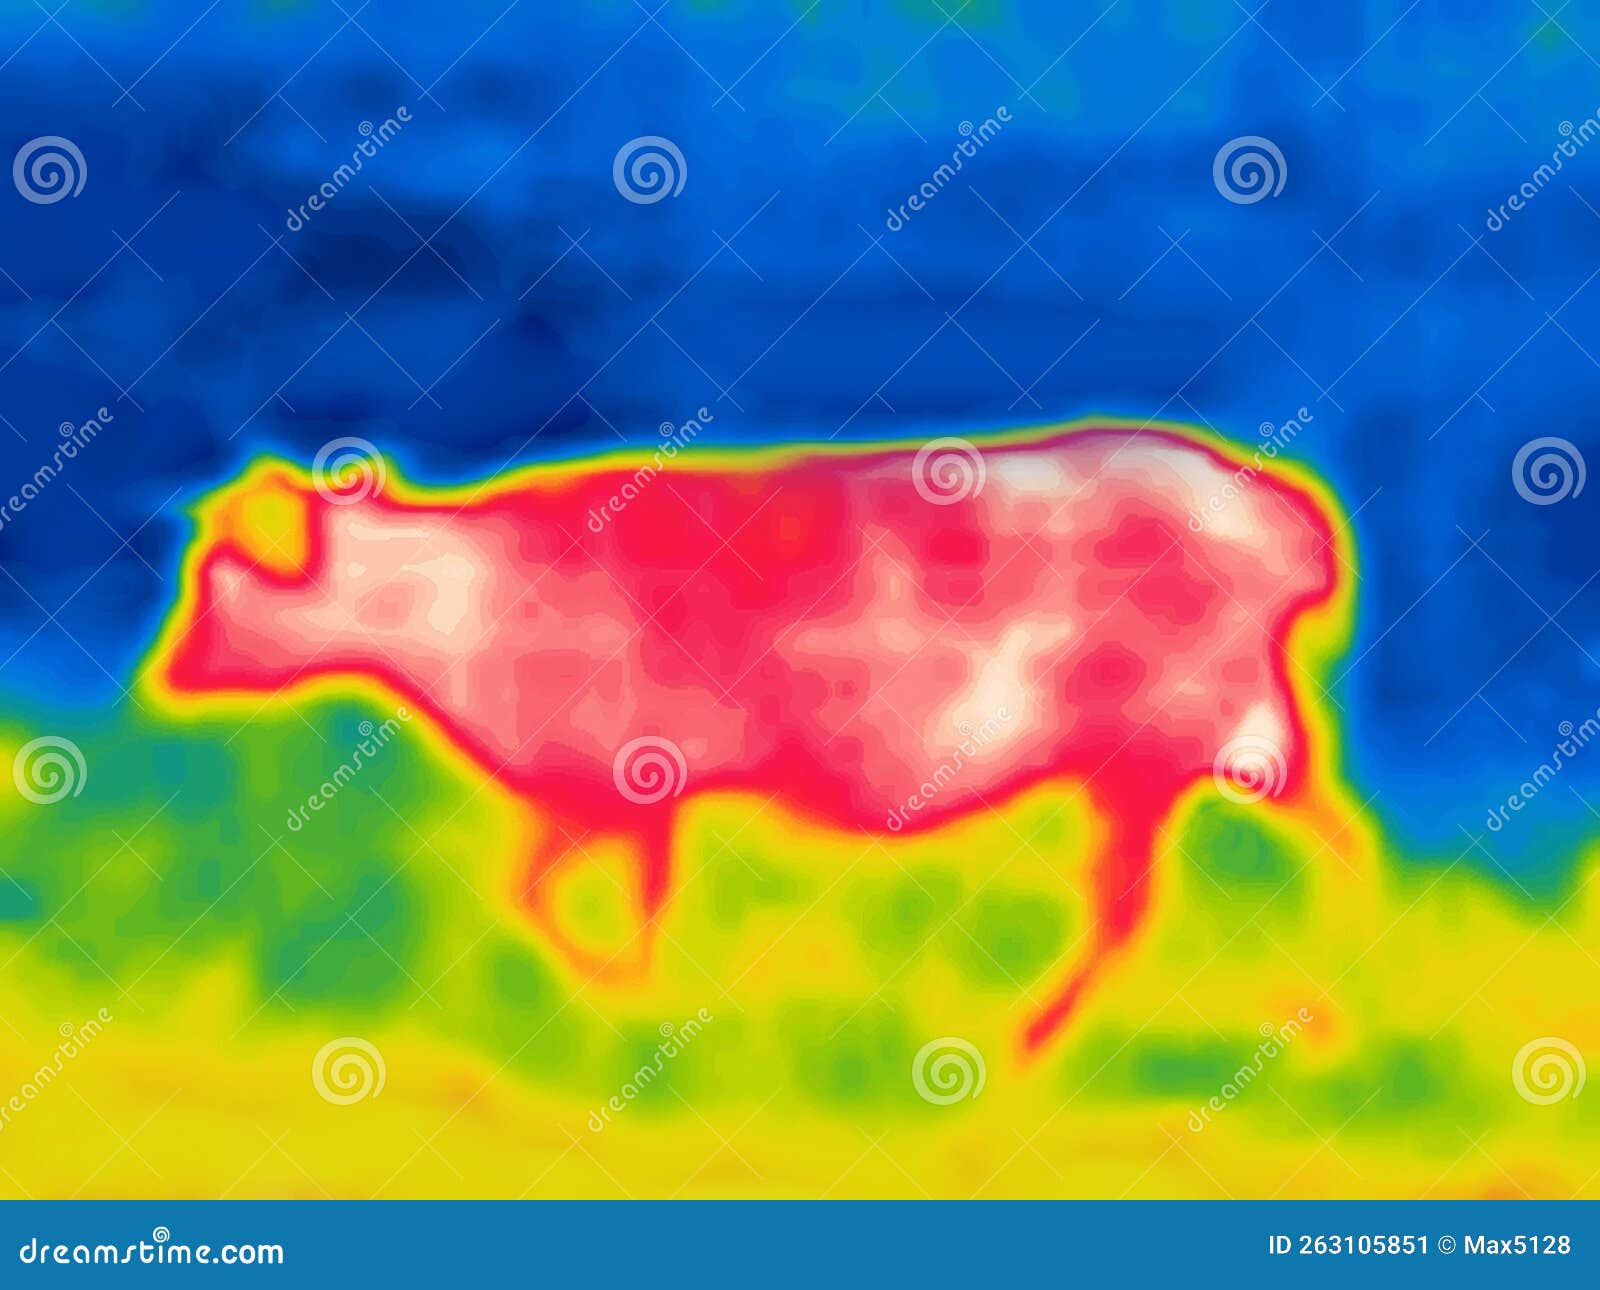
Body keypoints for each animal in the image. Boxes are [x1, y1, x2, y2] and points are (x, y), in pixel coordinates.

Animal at [148, 423, 1340, 1052]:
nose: (160, 674)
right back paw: (1044, 1040)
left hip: (1215, 730)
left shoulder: (629, 774)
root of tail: (1274, 512)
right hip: (1142, 767)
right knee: (1133, 907)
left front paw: (634, 999)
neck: (459, 612)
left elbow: (607, 899)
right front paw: (626, 997)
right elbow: (552, 893)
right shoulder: (600, 791)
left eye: (217, 573)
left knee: (1324, 850)